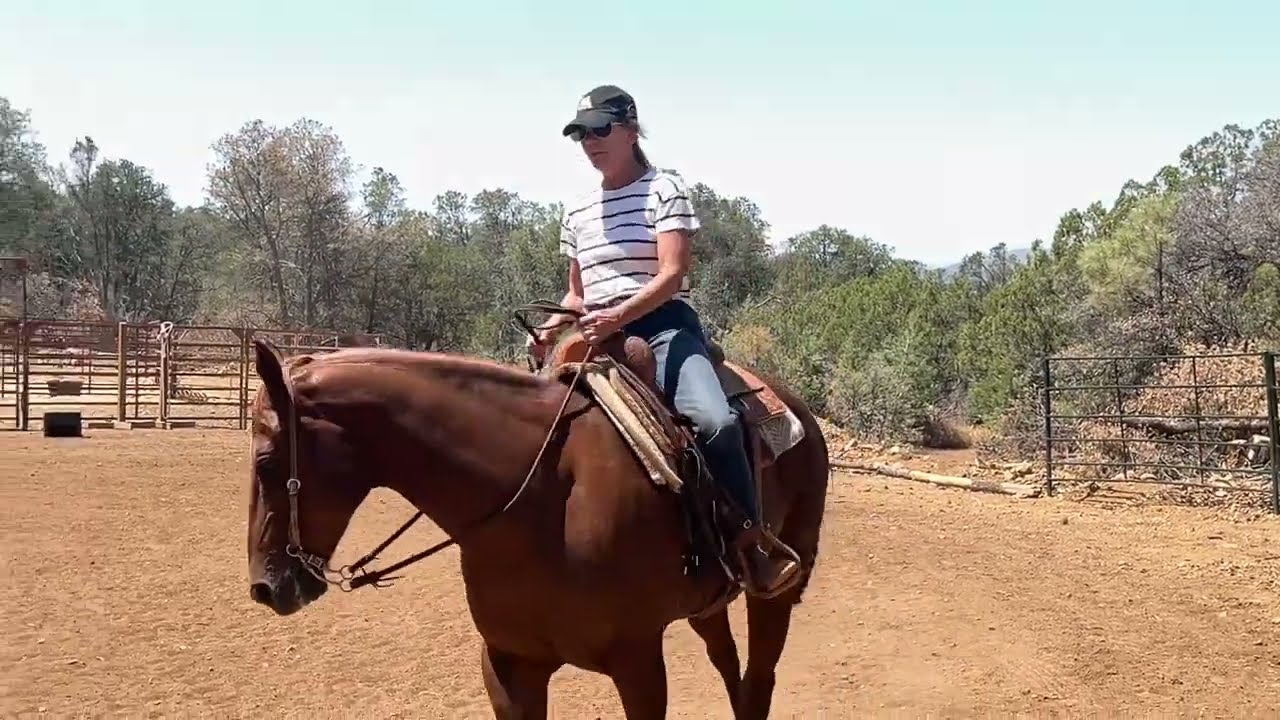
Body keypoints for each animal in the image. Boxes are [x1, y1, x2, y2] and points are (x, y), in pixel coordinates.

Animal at [243, 313, 830, 718]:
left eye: (267, 461)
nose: (265, 588)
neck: (541, 500)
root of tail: (793, 404)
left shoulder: (638, 663)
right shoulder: (509, 666)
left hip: (776, 589)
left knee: (758, 677)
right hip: (708, 601)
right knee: (730, 666)